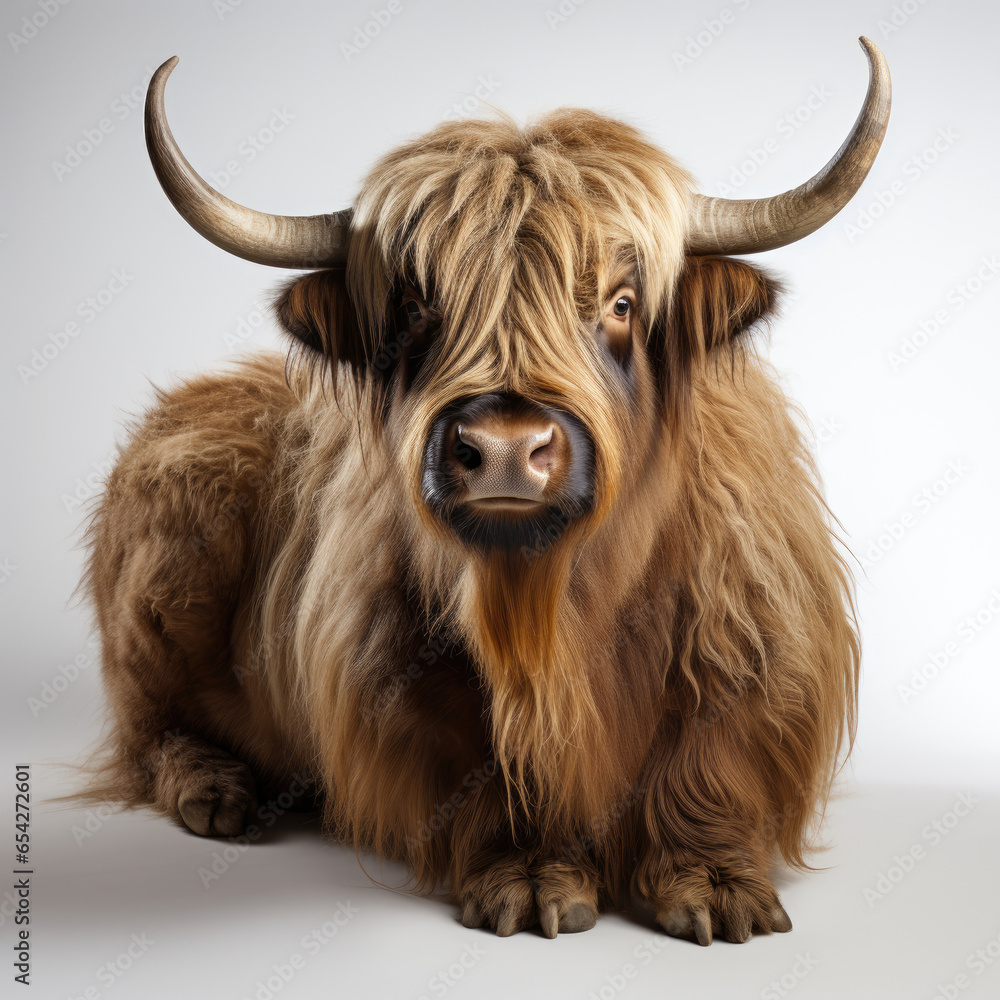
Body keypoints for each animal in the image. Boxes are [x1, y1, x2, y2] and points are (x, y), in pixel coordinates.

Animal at [80, 38, 890, 944]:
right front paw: (532, 877)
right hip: (172, 563)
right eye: (413, 310)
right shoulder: (383, 685)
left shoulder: (762, 648)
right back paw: (217, 792)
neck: (552, 605)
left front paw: (713, 884)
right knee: (147, 723)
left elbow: (712, 755)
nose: (505, 449)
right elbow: (478, 765)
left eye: (620, 303)